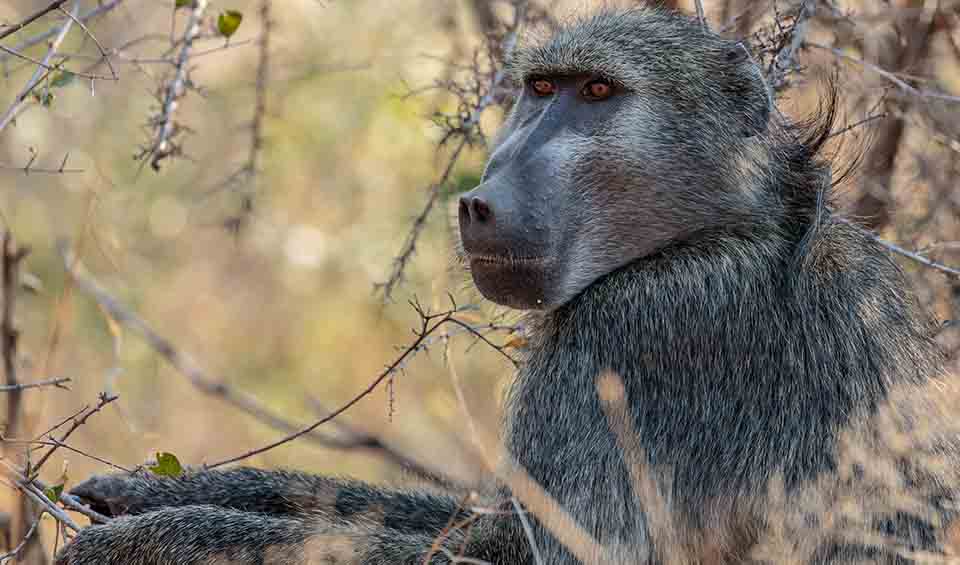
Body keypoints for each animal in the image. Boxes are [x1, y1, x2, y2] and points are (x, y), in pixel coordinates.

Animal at [55, 5, 958, 565]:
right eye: (540, 88)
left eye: (599, 92)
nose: (480, 199)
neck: (733, 222)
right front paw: (141, 494)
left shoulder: (632, 333)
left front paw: (143, 538)